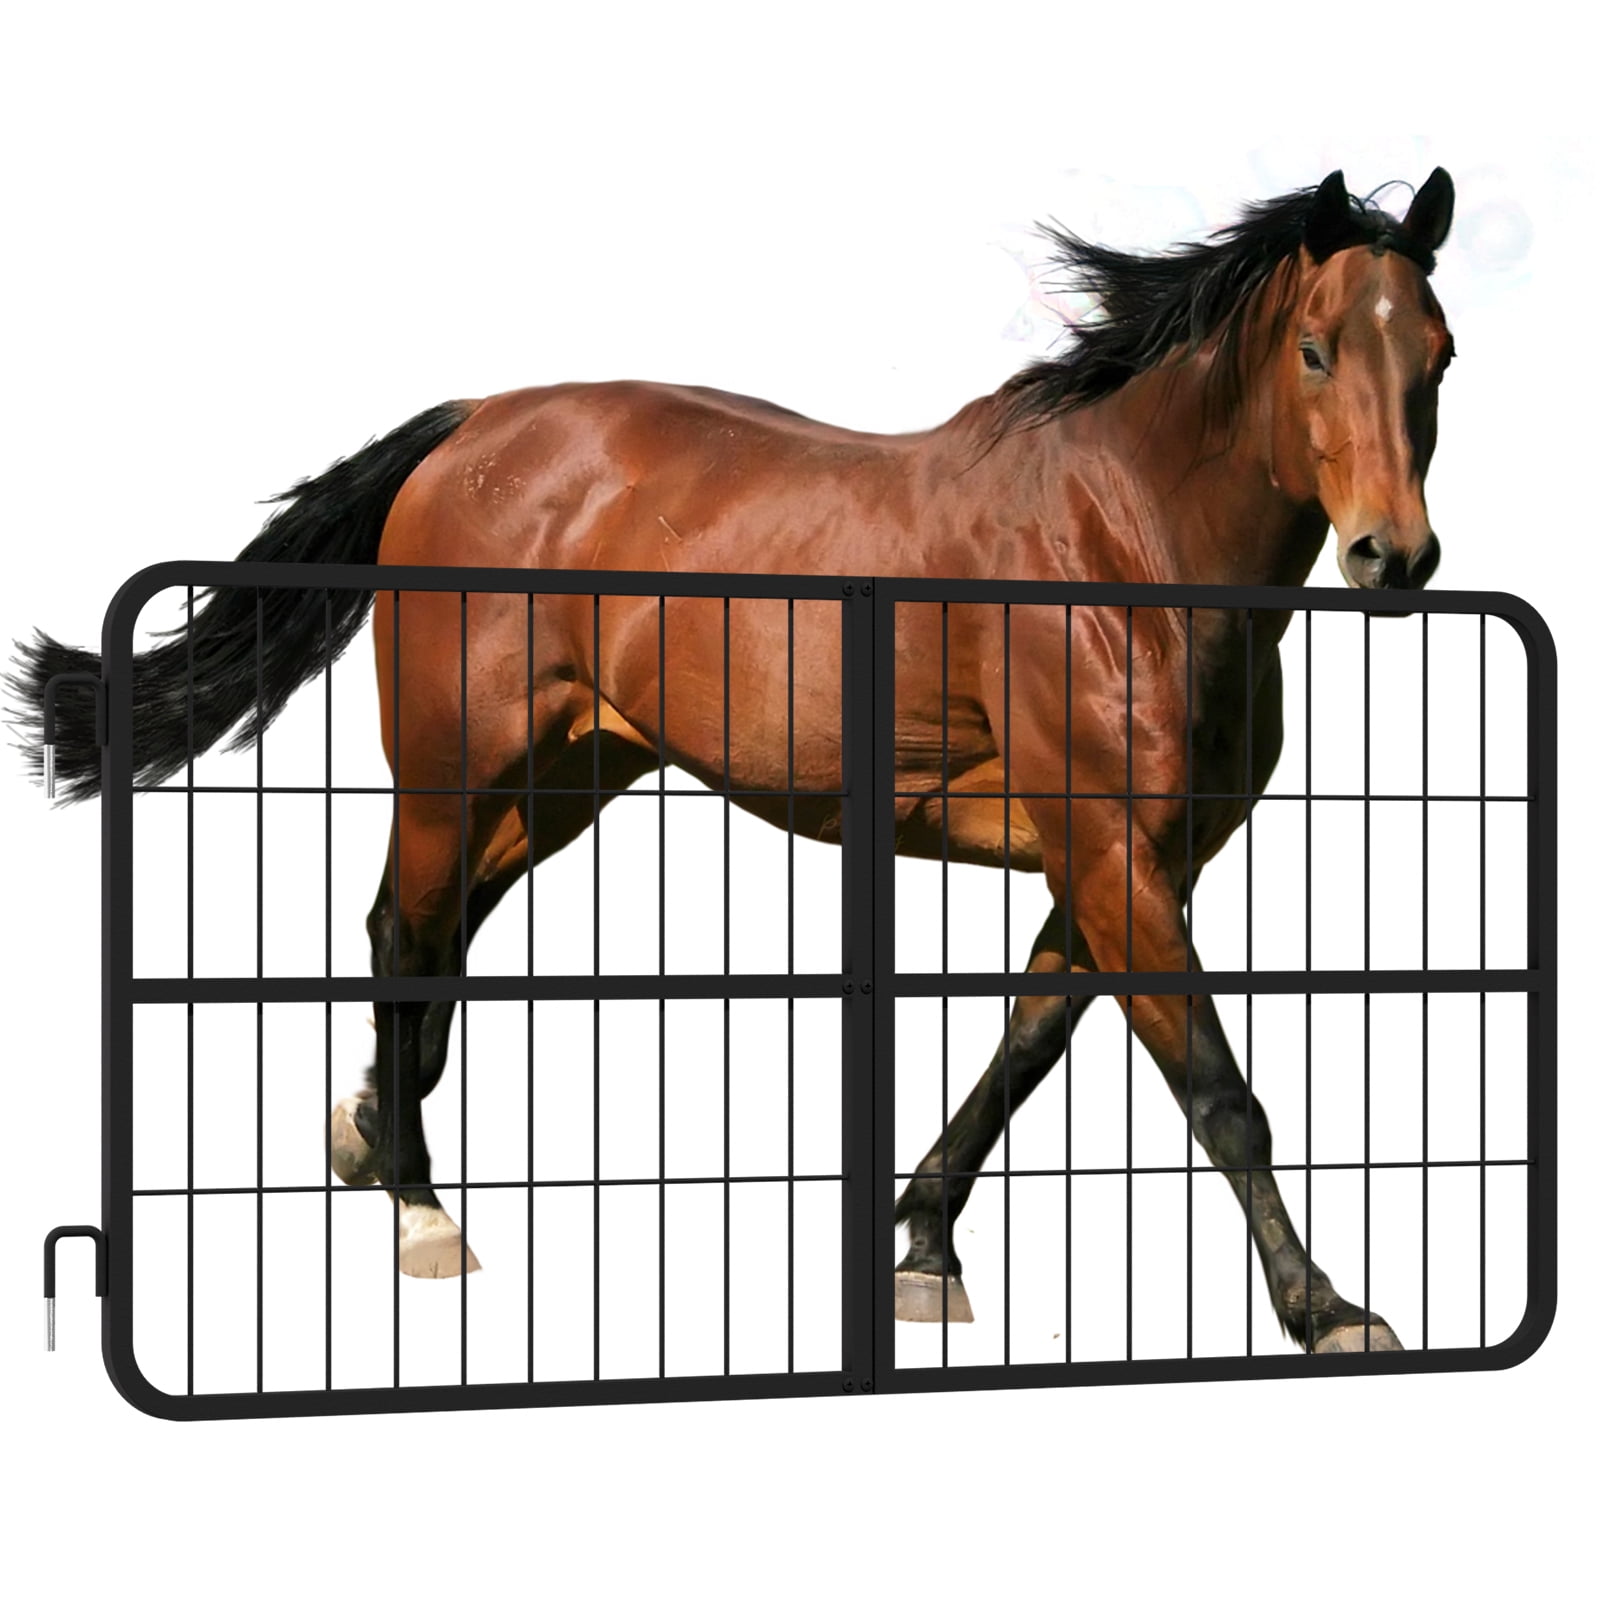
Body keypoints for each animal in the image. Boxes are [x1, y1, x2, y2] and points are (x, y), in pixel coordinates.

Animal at [14, 167, 1455, 1351]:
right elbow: (1217, 1088)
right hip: (450, 769)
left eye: (1439, 354)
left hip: (562, 782)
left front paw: (924, 1252)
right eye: (1316, 348)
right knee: (402, 936)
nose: (1393, 557)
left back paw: (366, 1132)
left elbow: (1029, 1040)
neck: (1116, 546)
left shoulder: (1127, 861)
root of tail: (472, 427)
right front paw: (1330, 1312)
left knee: (435, 939)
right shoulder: (1110, 851)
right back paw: (423, 1212)